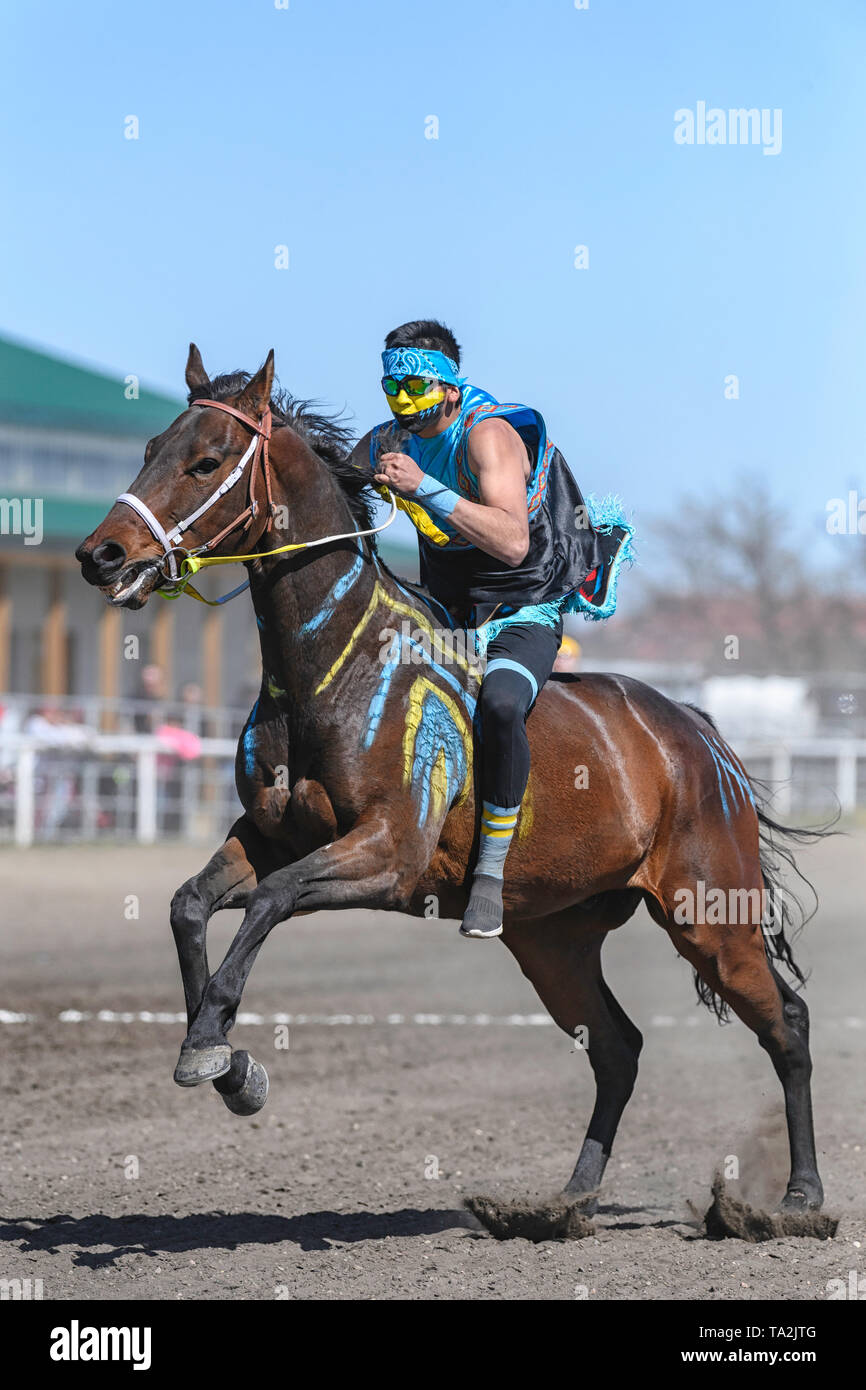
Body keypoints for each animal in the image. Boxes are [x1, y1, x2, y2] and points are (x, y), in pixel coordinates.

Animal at [76, 345, 827, 1217]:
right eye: (151, 447)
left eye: (207, 460)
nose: (101, 555)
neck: (335, 669)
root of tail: (698, 736)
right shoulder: (266, 837)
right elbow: (190, 906)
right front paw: (228, 1061)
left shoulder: (387, 853)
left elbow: (268, 903)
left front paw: (213, 1050)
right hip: (554, 939)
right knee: (618, 1047)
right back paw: (567, 1202)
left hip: (711, 917)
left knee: (789, 1025)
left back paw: (800, 1196)